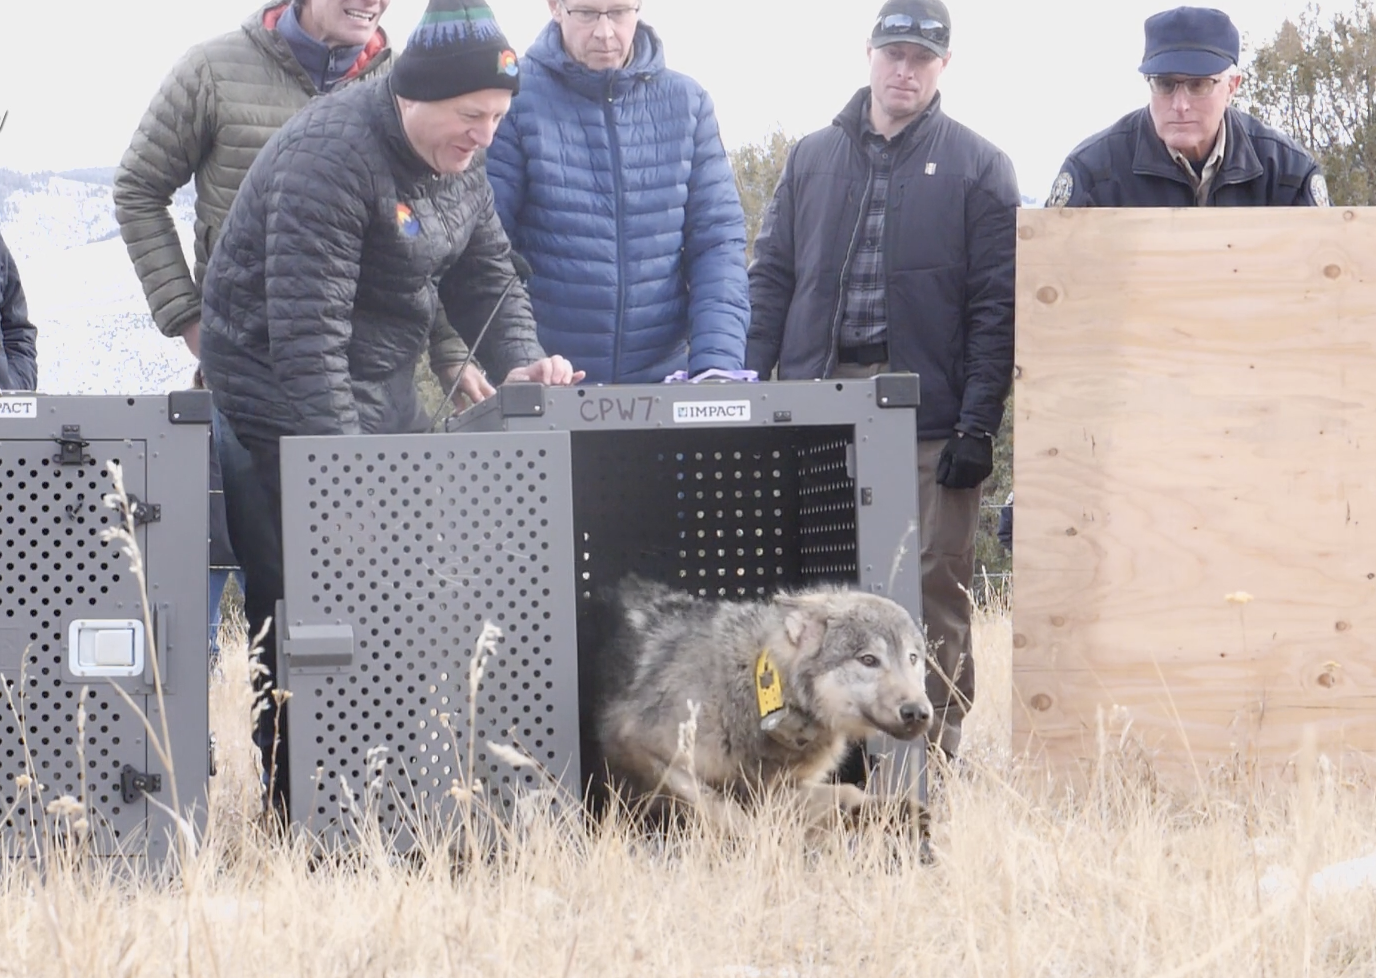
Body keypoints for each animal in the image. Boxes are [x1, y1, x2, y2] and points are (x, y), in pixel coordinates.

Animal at [586, 576, 932, 832]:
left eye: (913, 658)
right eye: (869, 660)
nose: (918, 712)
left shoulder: (775, 788)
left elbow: (845, 792)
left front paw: (900, 810)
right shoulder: (635, 743)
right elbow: (718, 805)